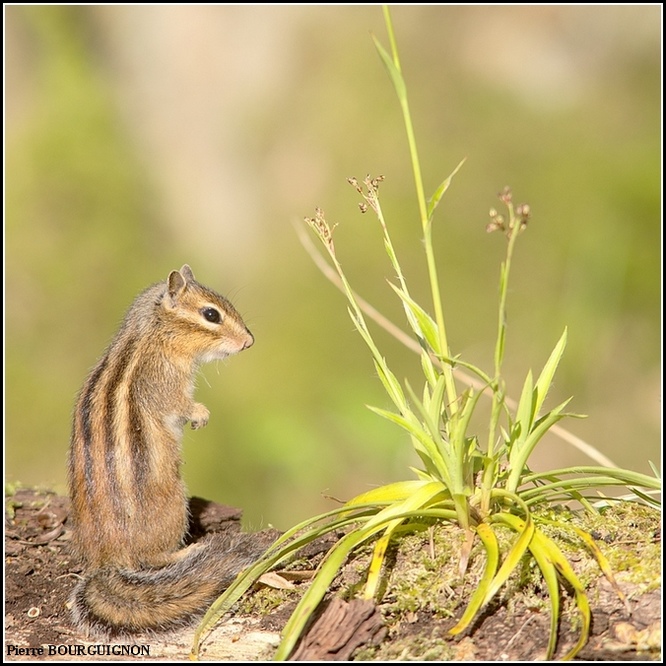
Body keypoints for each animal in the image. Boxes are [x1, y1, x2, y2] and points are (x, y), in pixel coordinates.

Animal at [68, 264, 265, 636]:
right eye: (211, 314)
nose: (249, 342)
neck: (154, 334)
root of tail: (108, 561)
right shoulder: (164, 381)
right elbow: (178, 404)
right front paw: (200, 415)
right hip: (175, 505)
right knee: (152, 559)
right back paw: (191, 550)